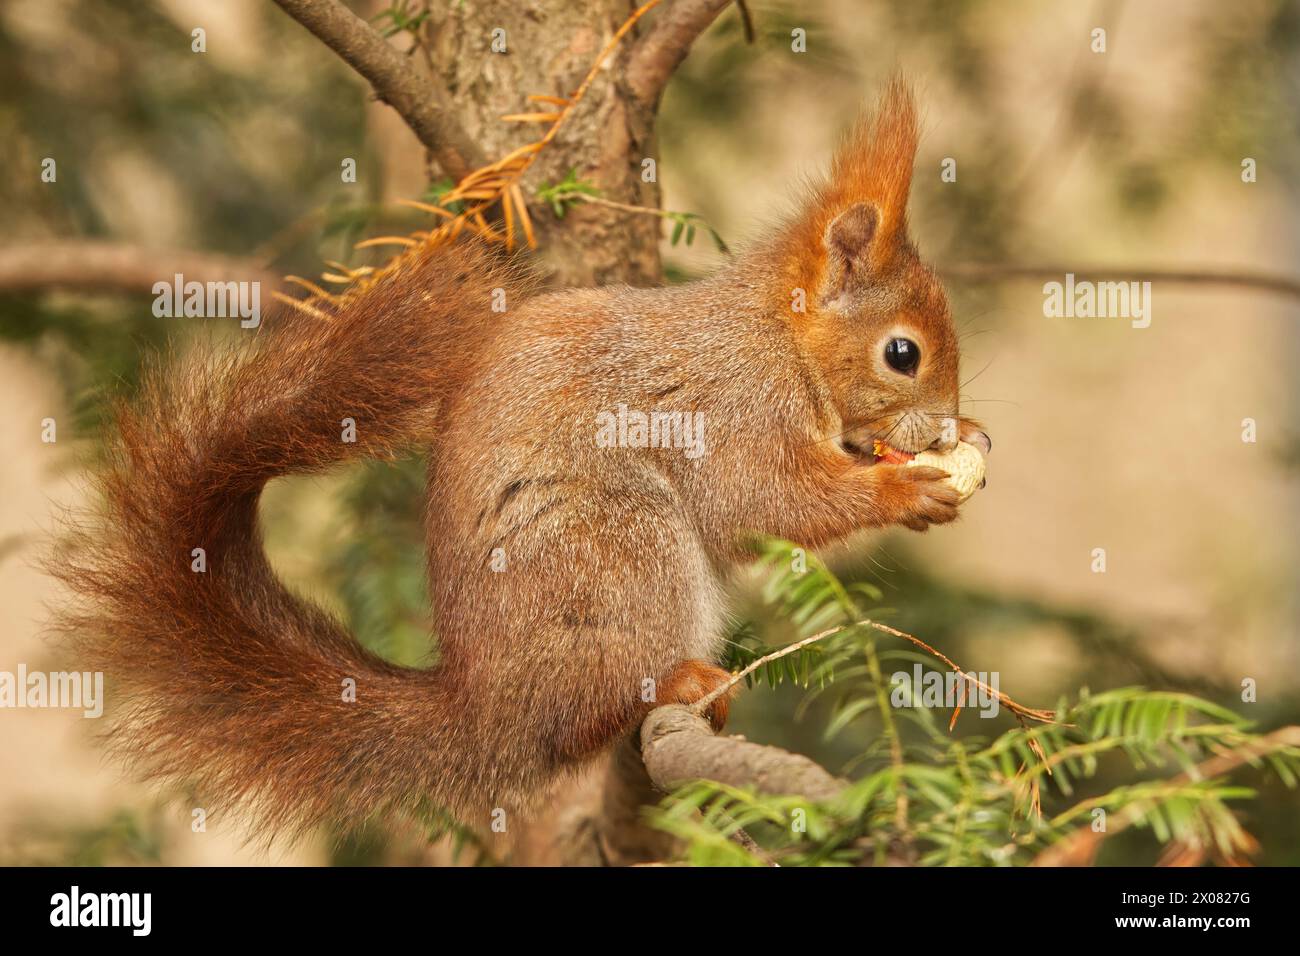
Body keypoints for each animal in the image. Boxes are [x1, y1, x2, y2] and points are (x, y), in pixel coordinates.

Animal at [54, 81, 989, 838]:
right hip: (618, 551)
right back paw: (676, 681)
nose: (945, 422)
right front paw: (905, 490)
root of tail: (488, 711)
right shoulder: (732, 407)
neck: (778, 336)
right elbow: (768, 500)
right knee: (590, 711)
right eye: (902, 354)